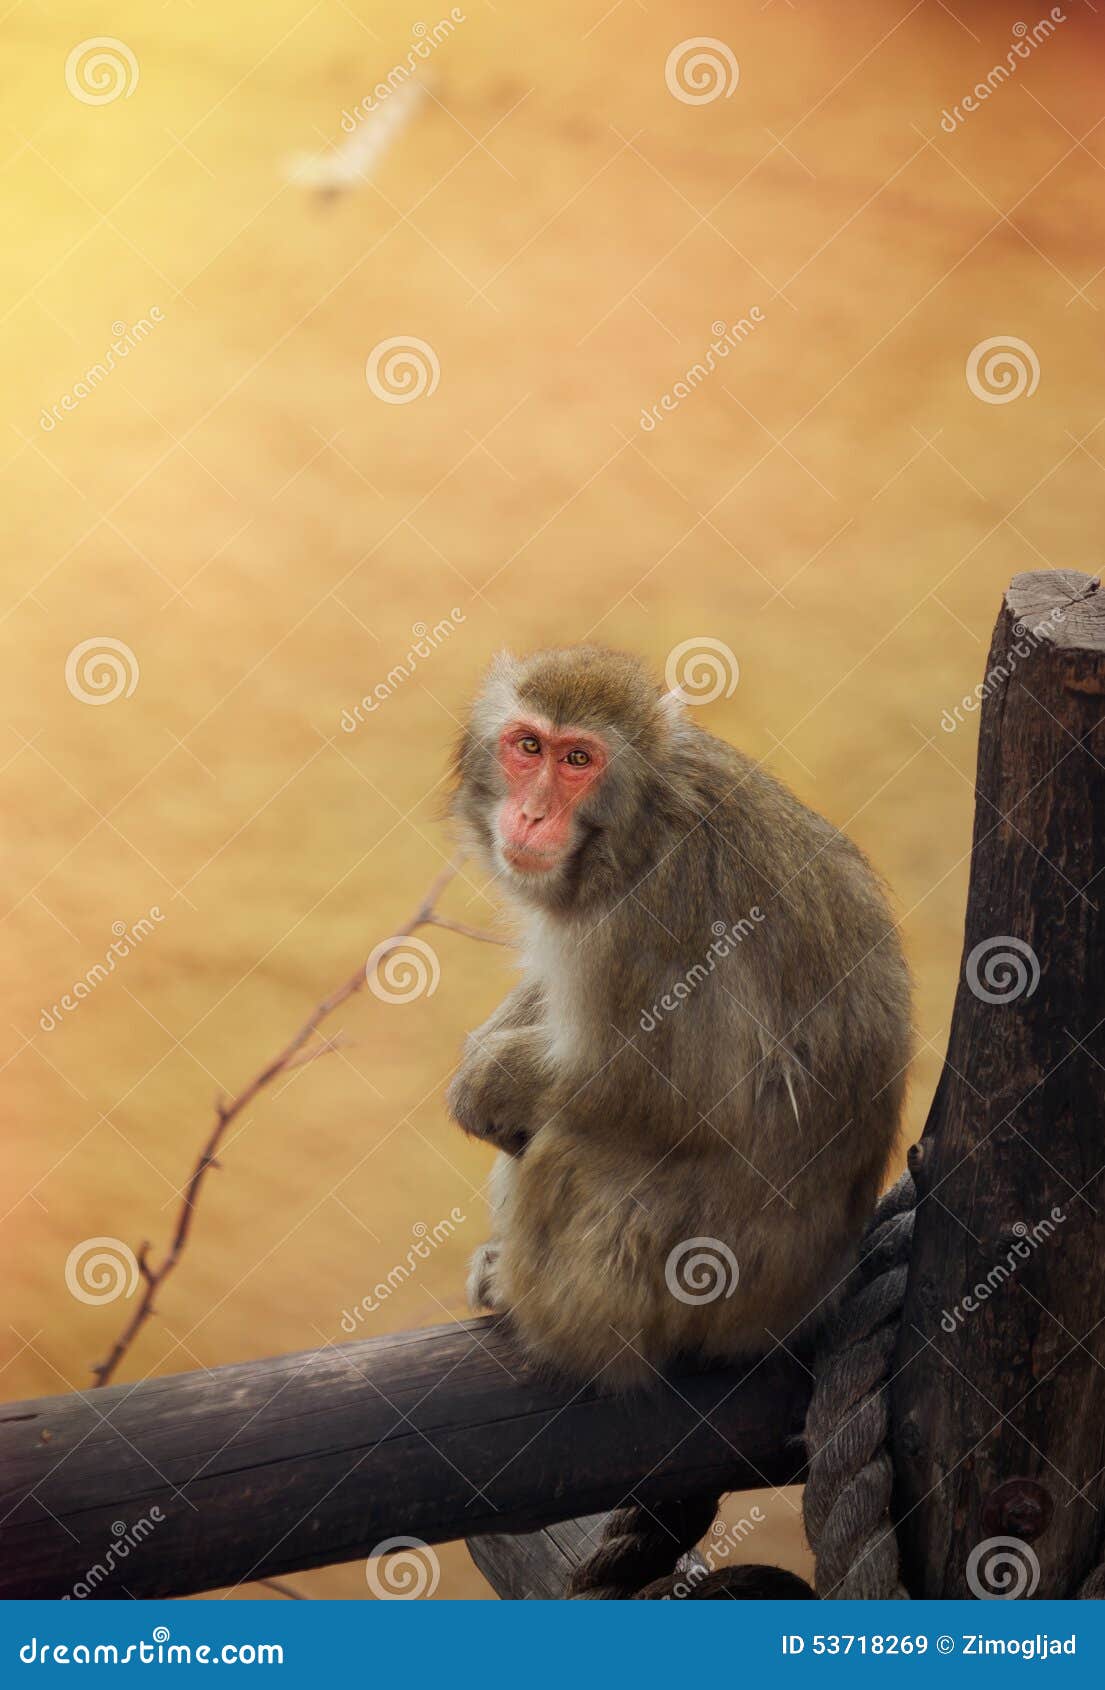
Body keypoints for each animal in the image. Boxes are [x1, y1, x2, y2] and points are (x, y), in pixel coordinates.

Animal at [447, 646, 911, 1390]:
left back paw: (542, 1323)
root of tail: (805, 1307)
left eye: (578, 759)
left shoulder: (656, 917)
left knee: (565, 1147)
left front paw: (486, 1084)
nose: (533, 815)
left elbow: (666, 1092)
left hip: (688, 1282)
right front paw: (481, 1054)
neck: (637, 827)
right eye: (528, 747)